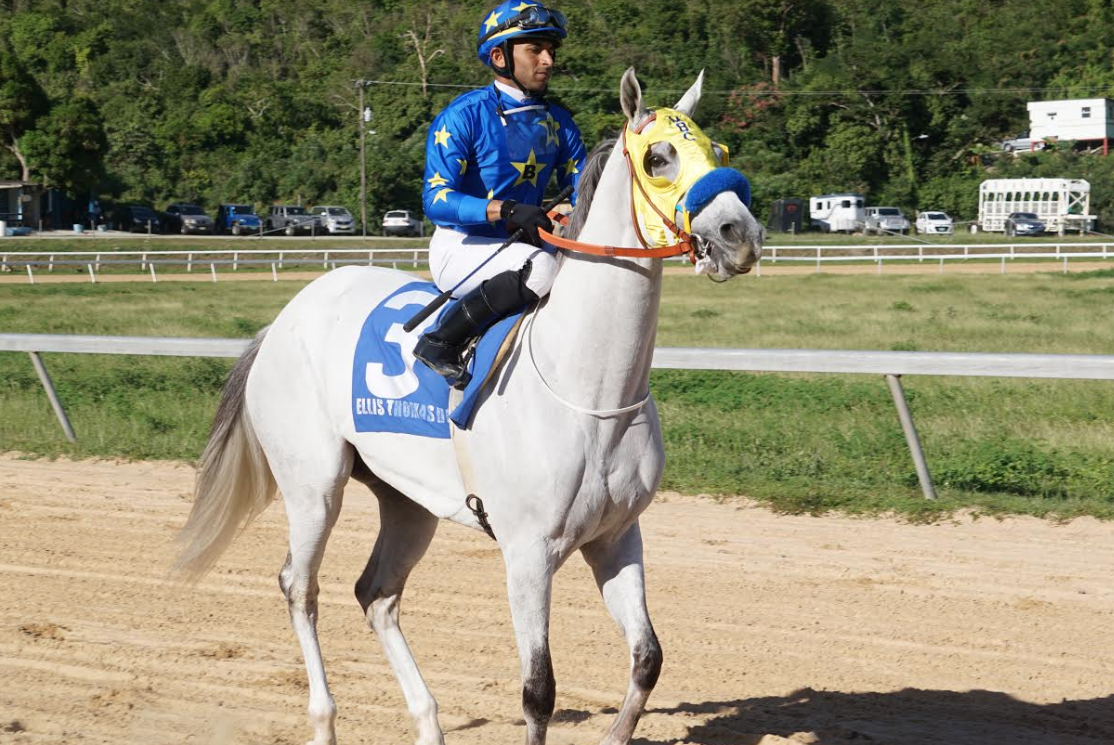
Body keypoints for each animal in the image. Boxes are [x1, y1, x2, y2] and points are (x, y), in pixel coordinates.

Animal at [175, 68, 763, 745]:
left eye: (718, 151)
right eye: (658, 158)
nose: (741, 235)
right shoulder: (527, 554)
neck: (589, 394)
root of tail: (284, 319)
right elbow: (539, 692)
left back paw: (428, 721)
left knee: (377, 593)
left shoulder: (618, 537)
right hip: (313, 484)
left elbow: (647, 660)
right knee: (301, 586)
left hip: (407, 502)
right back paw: (323, 718)